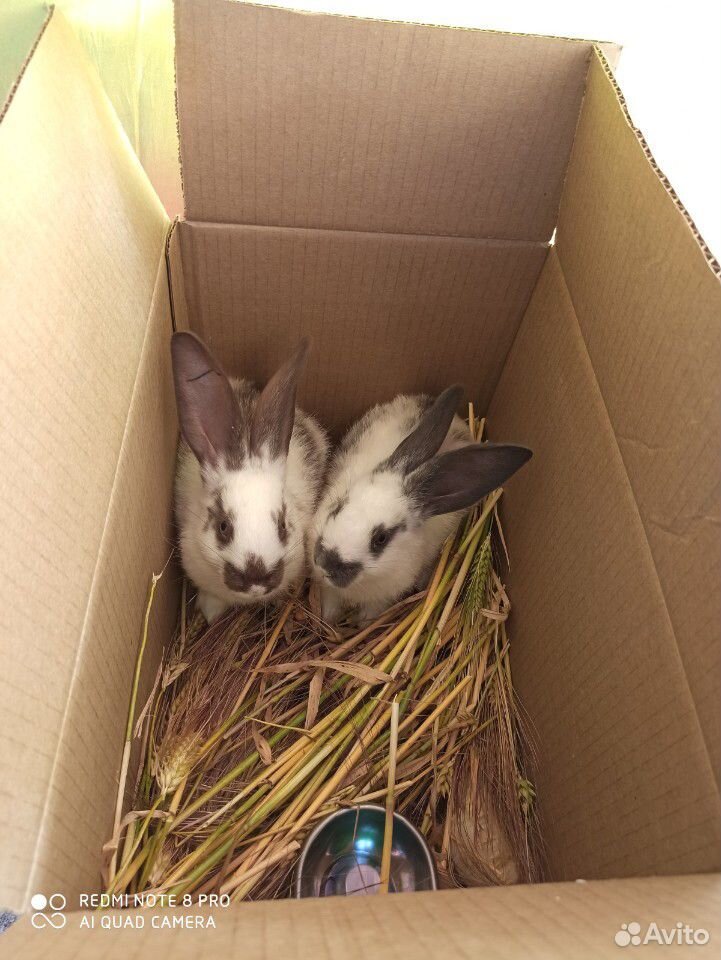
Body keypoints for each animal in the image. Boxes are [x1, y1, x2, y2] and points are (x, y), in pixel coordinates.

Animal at [311, 386, 531, 624]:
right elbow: (330, 606)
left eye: (381, 539)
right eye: (338, 506)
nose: (326, 563)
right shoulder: (328, 590)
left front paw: (359, 625)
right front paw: (327, 621)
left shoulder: (380, 600)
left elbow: (368, 617)